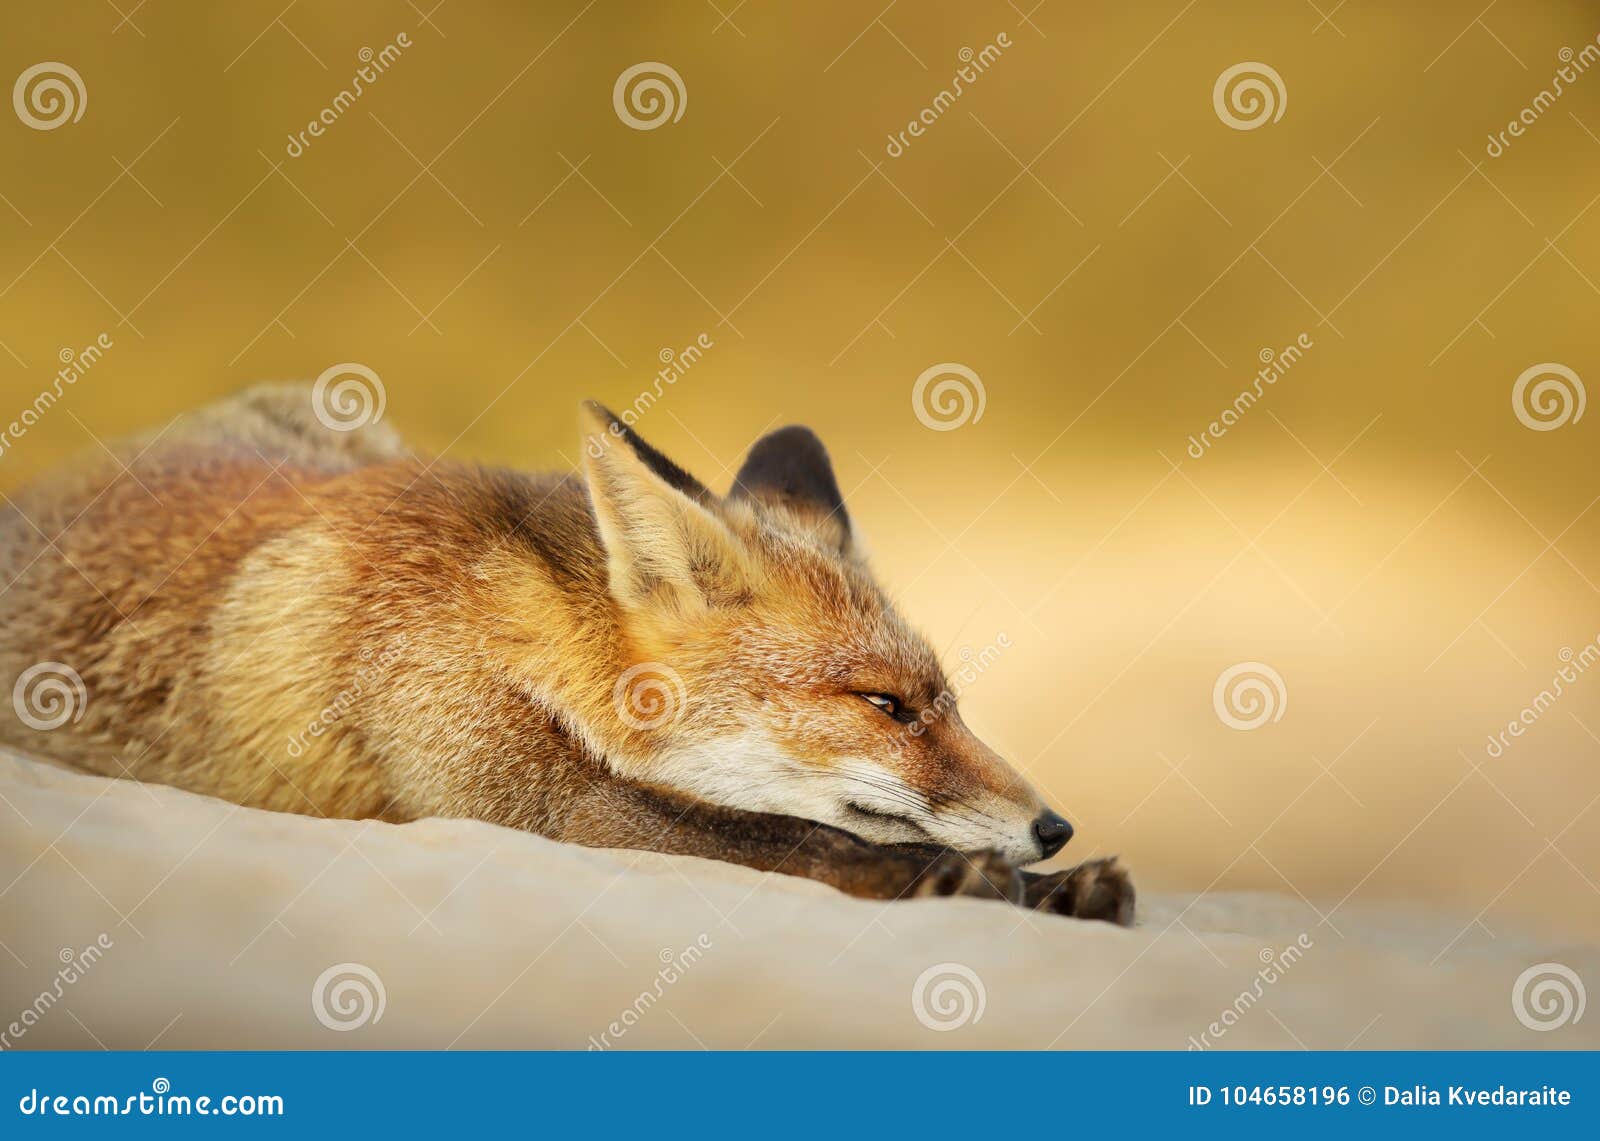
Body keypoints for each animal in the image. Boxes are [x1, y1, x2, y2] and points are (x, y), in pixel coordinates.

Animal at [0, 383, 1134, 924]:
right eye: (888, 706)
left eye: (949, 701)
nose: (1054, 824)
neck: (517, 629)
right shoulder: (526, 803)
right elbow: (794, 837)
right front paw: (967, 877)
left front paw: (1051, 882)